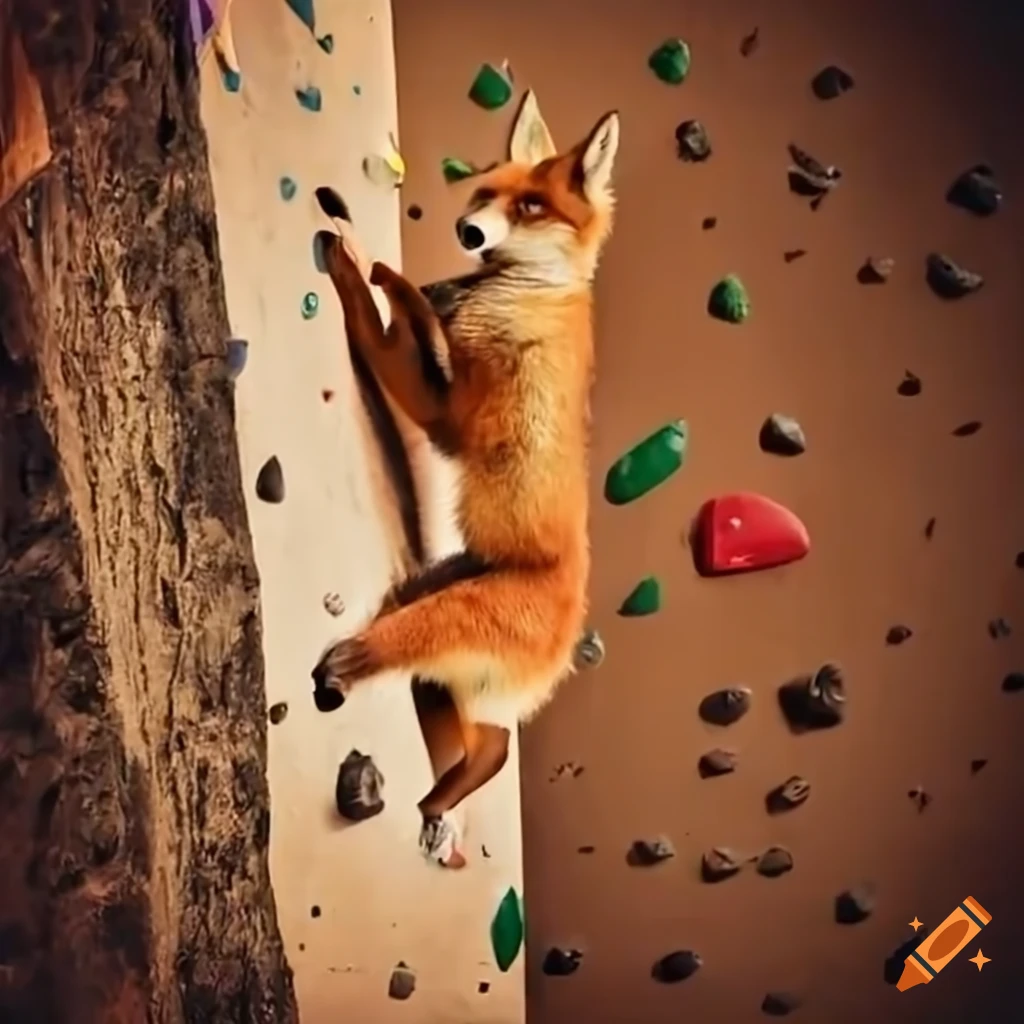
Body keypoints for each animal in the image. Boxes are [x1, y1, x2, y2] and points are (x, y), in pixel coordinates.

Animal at [311, 91, 620, 865]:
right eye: (486, 194)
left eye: (533, 206)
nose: (467, 229)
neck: (527, 298)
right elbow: (404, 324)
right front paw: (400, 281)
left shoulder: (447, 413)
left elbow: (384, 325)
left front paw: (368, 274)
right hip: (431, 649)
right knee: (488, 749)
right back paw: (436, 807)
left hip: (421, 629)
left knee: (484, 745)